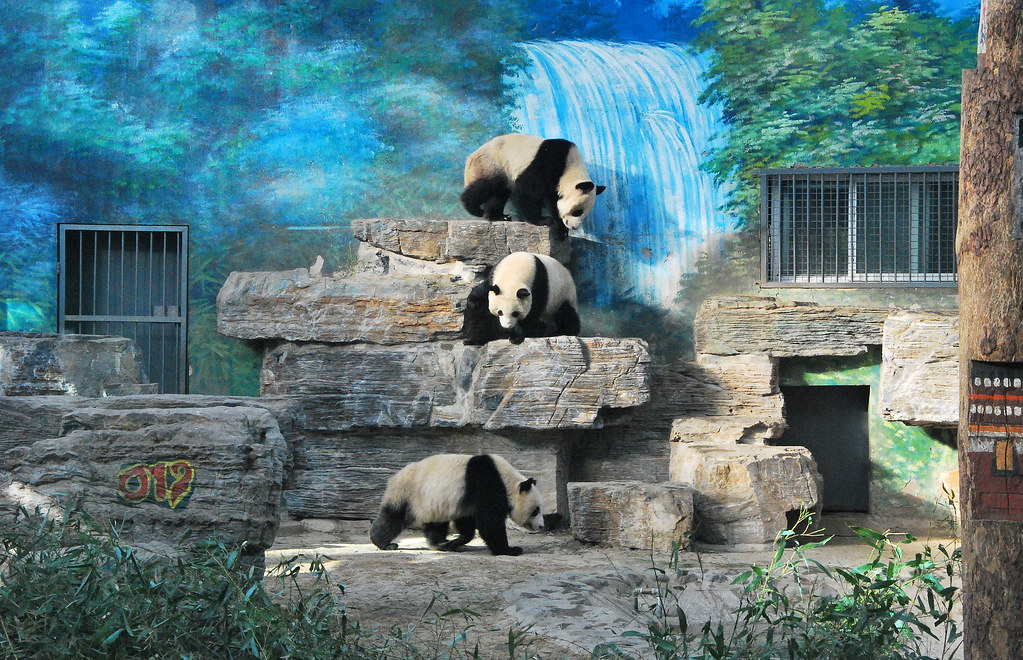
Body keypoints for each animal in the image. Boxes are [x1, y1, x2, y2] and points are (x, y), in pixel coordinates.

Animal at [369, 453, 545, 556]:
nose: (542, 526)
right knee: (393, 517)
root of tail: (395, 477)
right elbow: (489, 521)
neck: (507, 481)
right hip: (408, 492)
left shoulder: (464, 499)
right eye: (536, 510)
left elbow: (467, 523)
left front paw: (454, 543)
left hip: (432, 501)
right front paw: (508, 550)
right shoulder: (486, 484)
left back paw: (439, 542)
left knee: (436, 524)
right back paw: (384, 543)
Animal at [460, 133, 606, 240]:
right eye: (578, 212)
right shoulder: (547, 163)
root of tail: (470, 159)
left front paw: (561, 229)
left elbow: (553, 201)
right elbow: (528, 190)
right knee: (488, 185)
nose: (574, 227)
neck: (569, 168)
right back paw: (473, 207)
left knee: (499, 193)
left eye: (584, 214)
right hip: (492, 163)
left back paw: (497, 216)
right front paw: (543, 220)